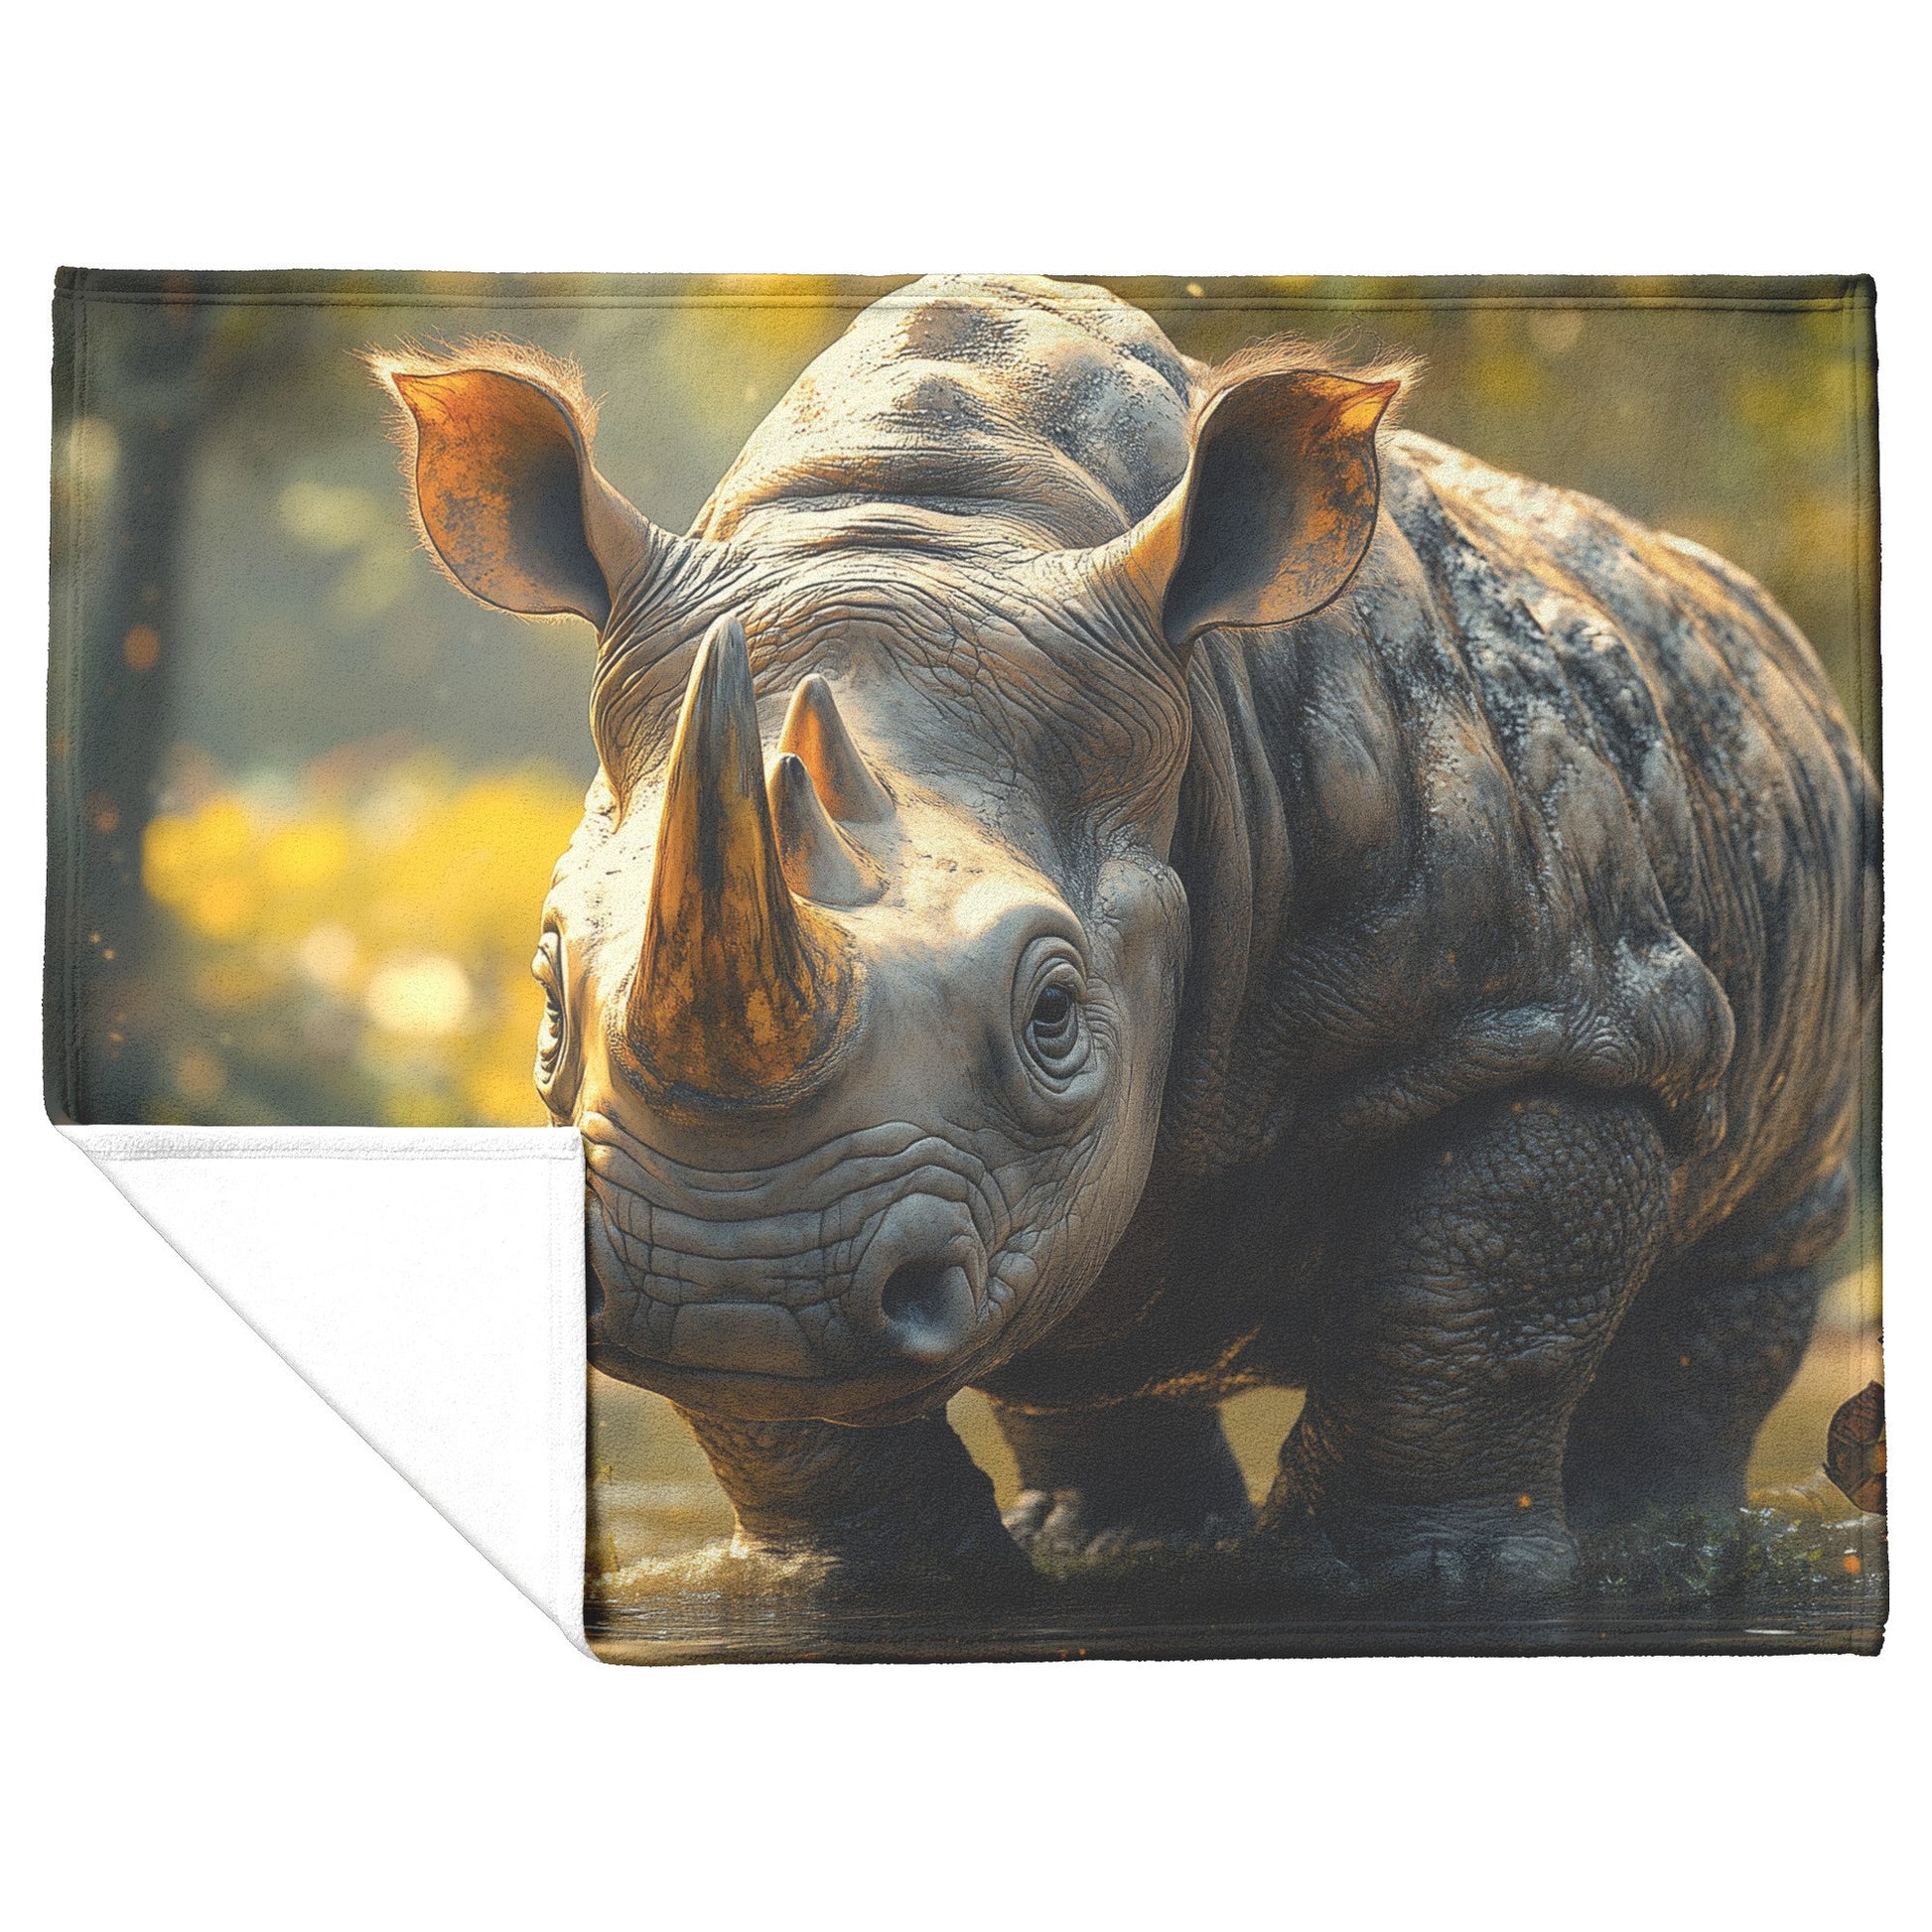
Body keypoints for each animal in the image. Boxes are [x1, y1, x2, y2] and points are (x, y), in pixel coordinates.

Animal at [382, 276, 1876, 1594]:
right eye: (546, 991)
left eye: (1053, 1013)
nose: (732, 1289)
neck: (926, 515)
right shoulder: (681, 1158)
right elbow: (789, 1415)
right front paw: (861, 1582)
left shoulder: (1540, 1014)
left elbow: (1464, 1299)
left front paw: (1405, 1583)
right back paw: (1113, 1548)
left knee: (1750, 1234)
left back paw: (1660, 1553)